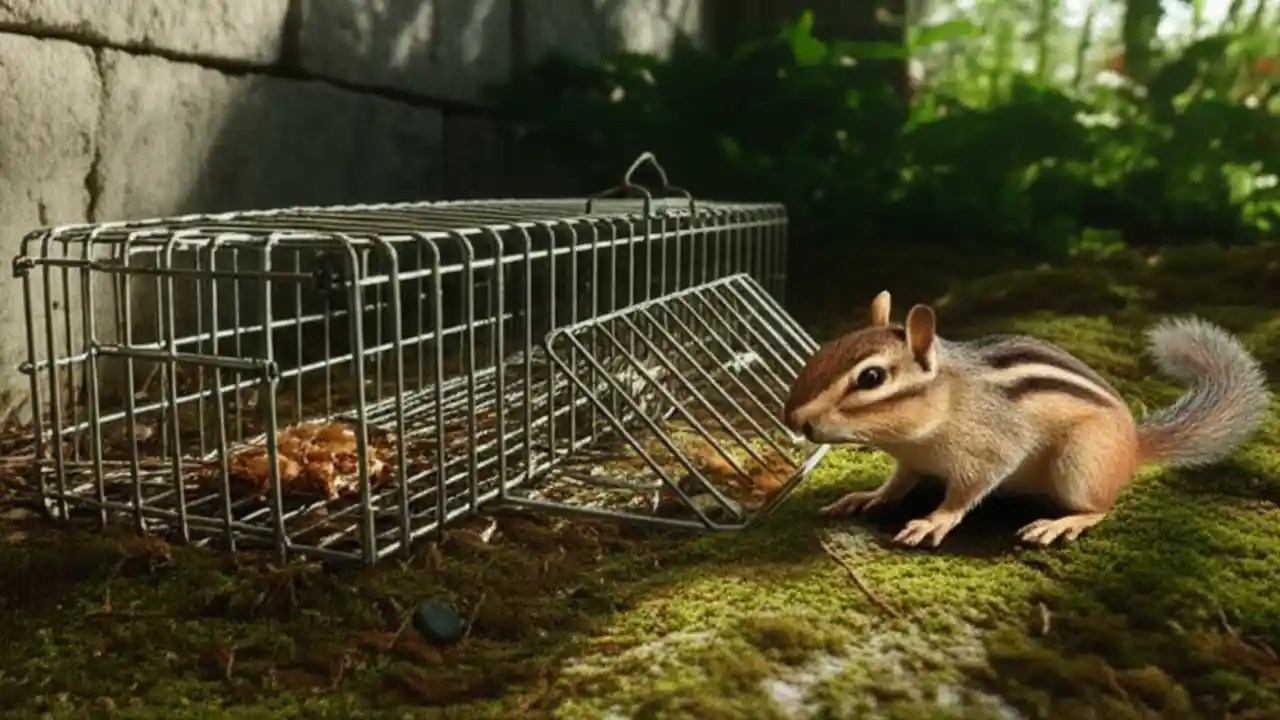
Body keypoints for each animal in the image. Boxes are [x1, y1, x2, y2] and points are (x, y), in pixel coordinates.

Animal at [783, 290, 1271, 548]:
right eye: (830, 345)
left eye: (871, 377)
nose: (793, 418)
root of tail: (1134, 444)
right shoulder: (910, 461)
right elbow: (895, 486)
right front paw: (864, 496)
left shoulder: (993, 447)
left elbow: (968, 491)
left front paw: (934, 520)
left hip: (1079, 463)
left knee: (1101, 507)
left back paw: (1063, 523)